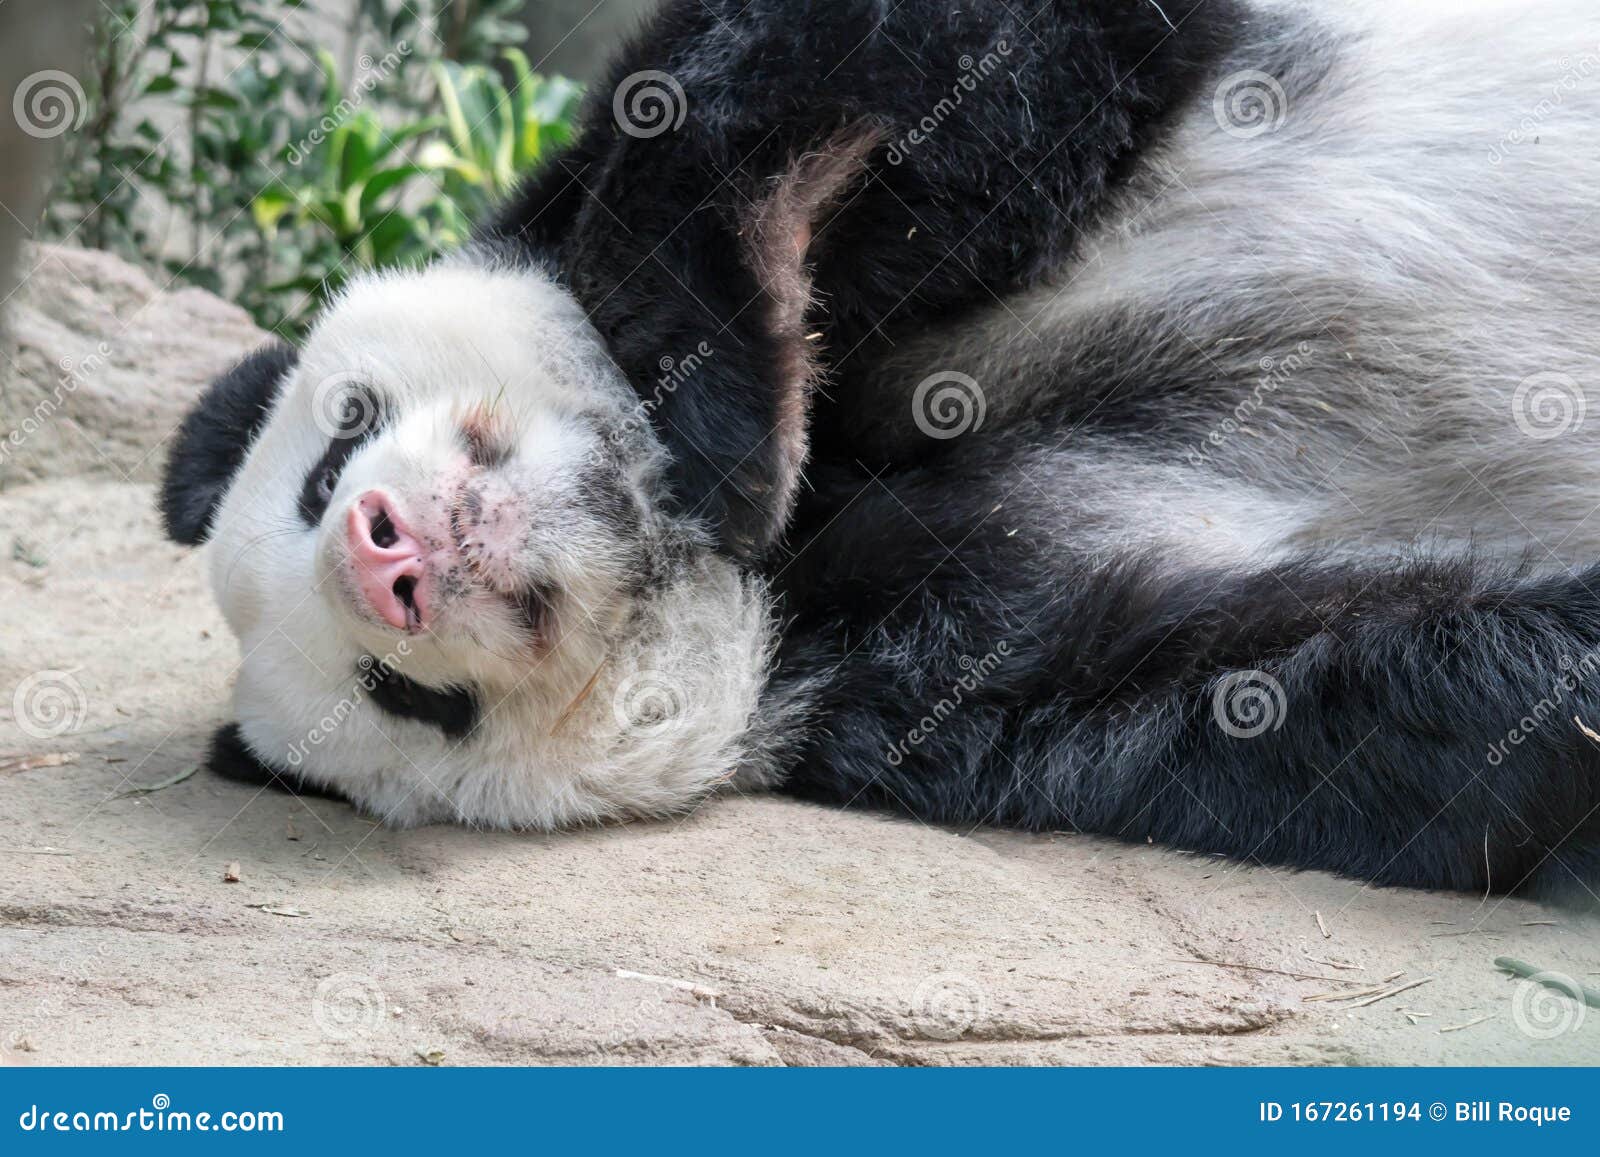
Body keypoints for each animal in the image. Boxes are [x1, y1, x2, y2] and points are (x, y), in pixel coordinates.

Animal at [162, 0, 1600, 906]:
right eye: (400, 697)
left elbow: (873, 63)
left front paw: (719, 422)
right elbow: (1301, 693)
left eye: (331, 450)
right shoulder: (925, 675)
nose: (382, 552)